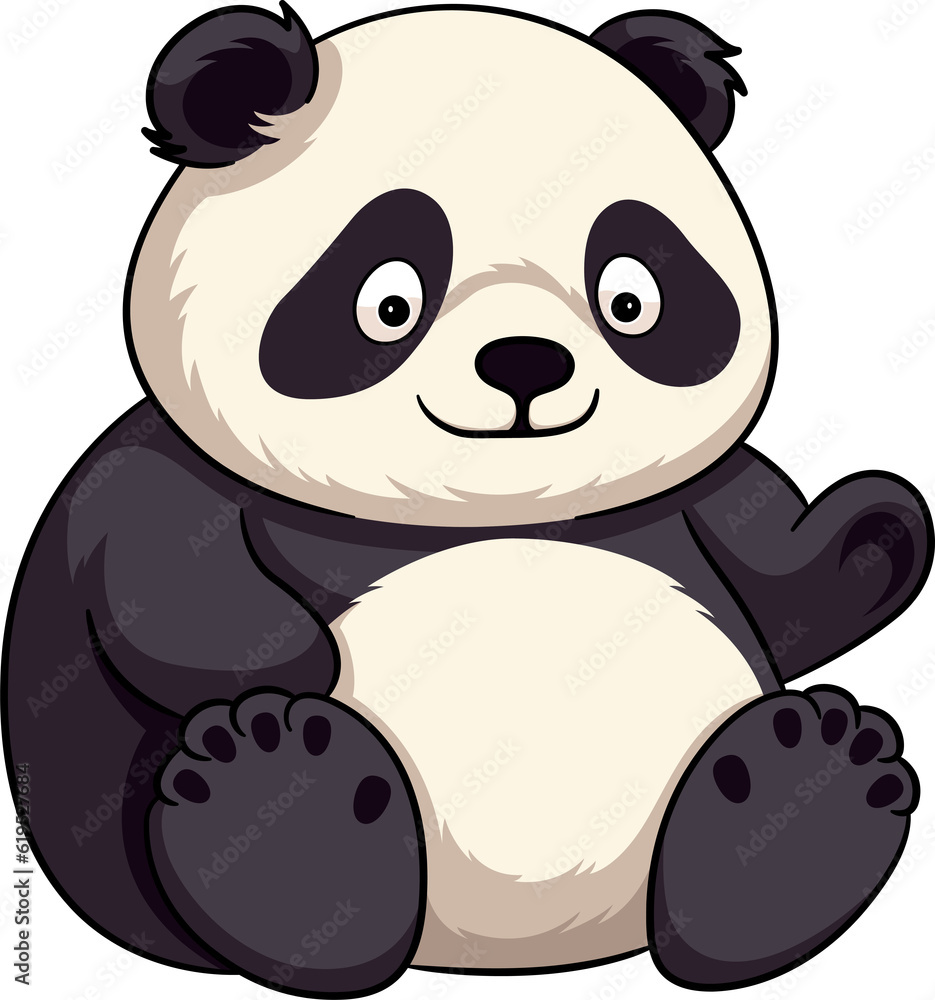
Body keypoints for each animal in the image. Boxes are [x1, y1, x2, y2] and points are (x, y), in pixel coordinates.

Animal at [3, 3, 933, 997]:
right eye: (389, 299)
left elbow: (786, 582)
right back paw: (278, 796)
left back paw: (801, 790)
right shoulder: (169, 480)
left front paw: (874, 528)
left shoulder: (682, 505)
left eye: (631, 296)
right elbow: (157, 557)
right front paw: (287, 658)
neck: (493, 509)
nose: (526, 363)